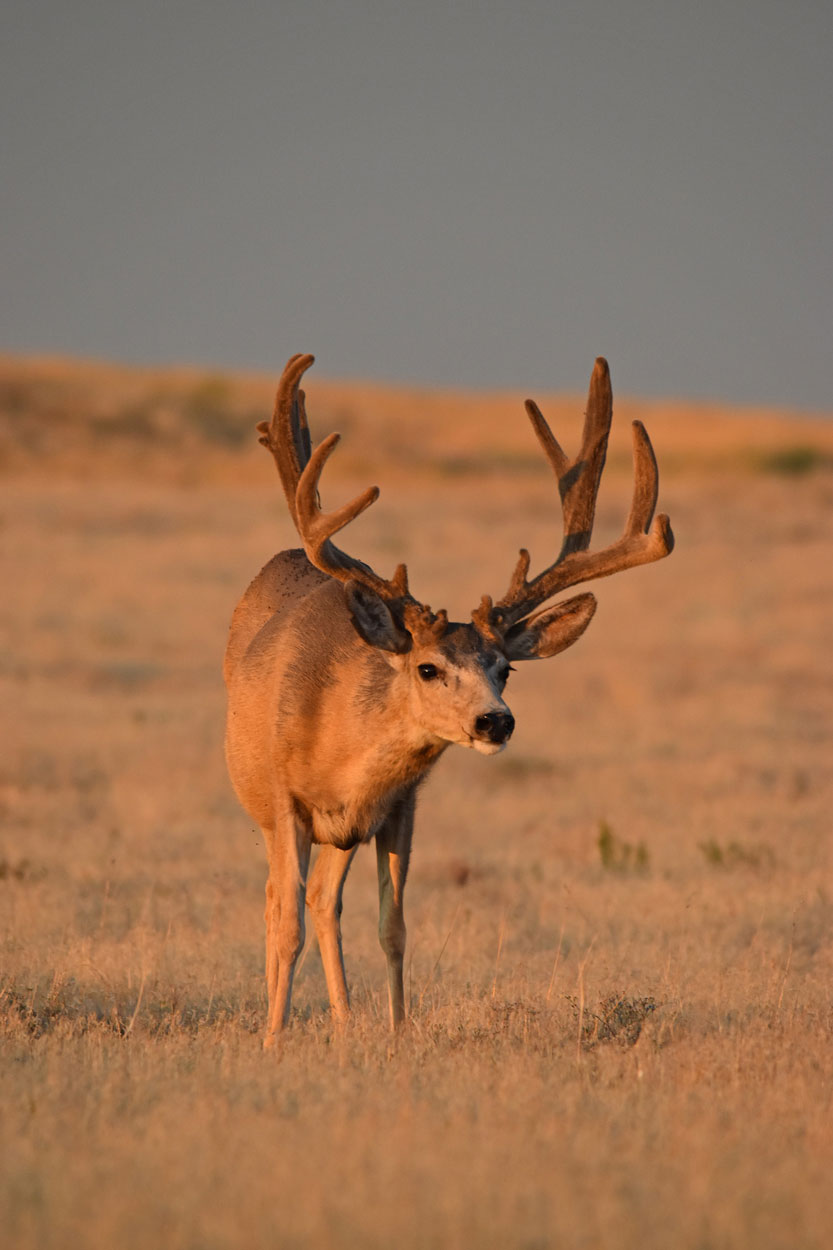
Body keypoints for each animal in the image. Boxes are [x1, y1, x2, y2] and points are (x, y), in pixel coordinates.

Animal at [223, 352, 673, 1046]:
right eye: (429, 667)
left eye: (506, 669)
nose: (495, 722)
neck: (339, 749)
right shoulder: (283, 802)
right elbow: (286, 923)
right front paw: (273, 1043)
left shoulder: (399, 808)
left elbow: (393, 928)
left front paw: (398, 1036)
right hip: (270, 811)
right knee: (283, 903)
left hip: (343, 837)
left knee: (326, 903)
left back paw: (346, 1025)